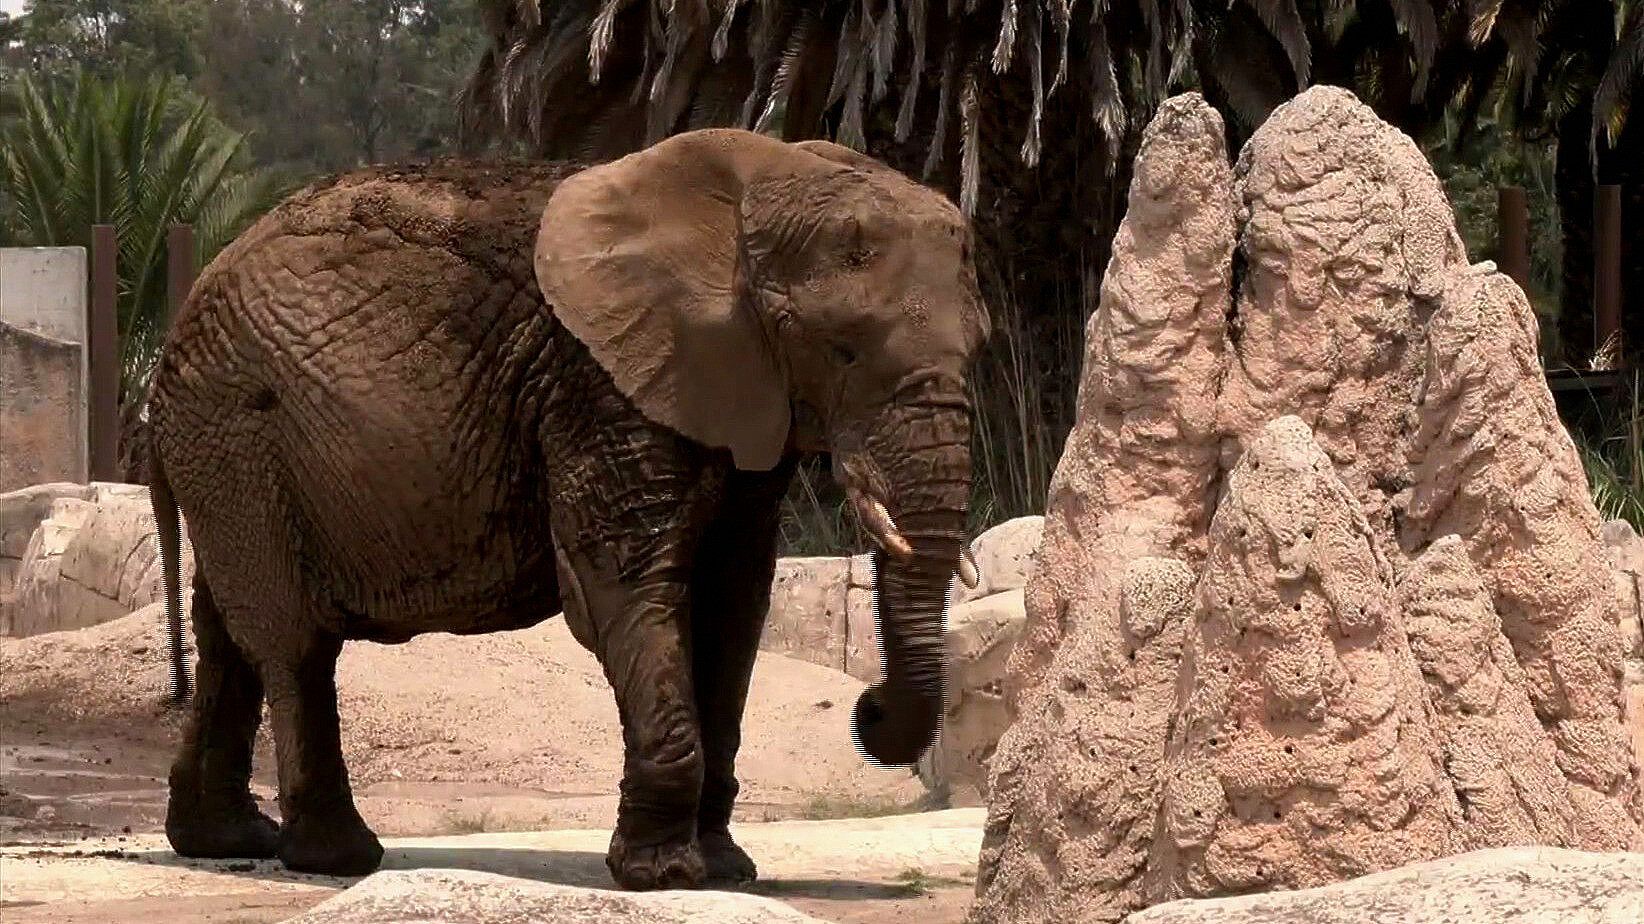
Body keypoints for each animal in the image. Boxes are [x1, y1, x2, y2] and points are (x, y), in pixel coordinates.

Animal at [147, 128, 989, 891]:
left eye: (979, 345)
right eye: (841, 350)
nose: (868, 711)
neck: (757, 185)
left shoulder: (738, 399)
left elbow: (734, 600)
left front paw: (726, 869)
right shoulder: (599, 384)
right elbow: (622, 585)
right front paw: (666, 876)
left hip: (231, 453)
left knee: (227, 635)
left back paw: (225, 840)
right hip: (239, 432)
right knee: (293, 642)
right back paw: (338, 857)